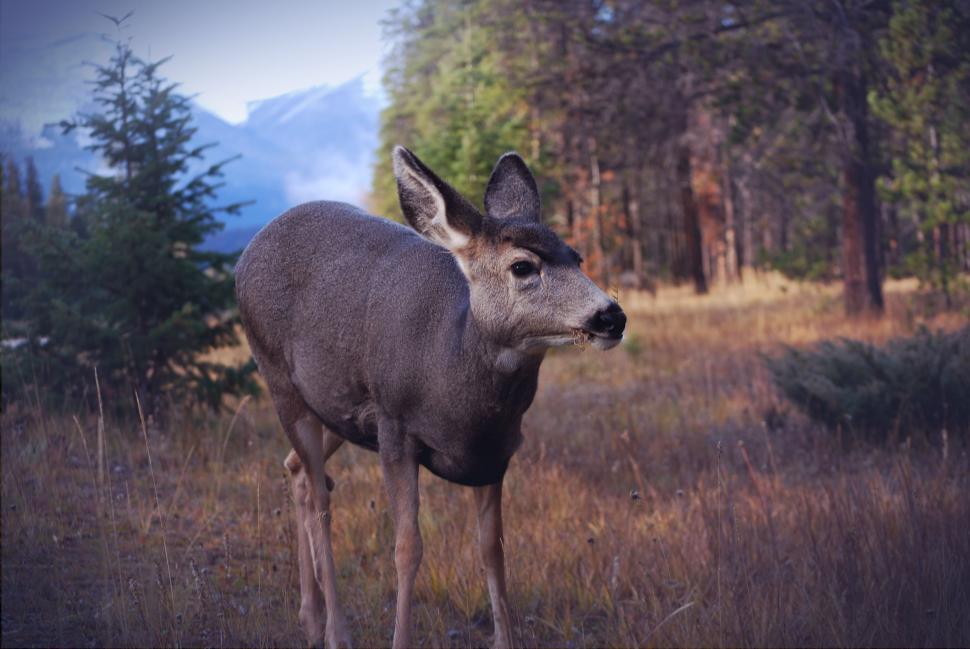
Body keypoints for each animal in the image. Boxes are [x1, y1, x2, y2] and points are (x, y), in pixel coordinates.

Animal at [235, 146, 626, 649]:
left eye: (576, 257)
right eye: (522, 266)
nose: (611, 316)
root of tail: (249, 250)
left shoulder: (496, 452)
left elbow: (492, 548)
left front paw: (505, 638)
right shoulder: (395, 428)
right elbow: (407, 547)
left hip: (336, 409)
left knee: (298, 471)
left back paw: (311, 618)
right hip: (281, 380)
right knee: (320, 499)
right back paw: (336, 631)